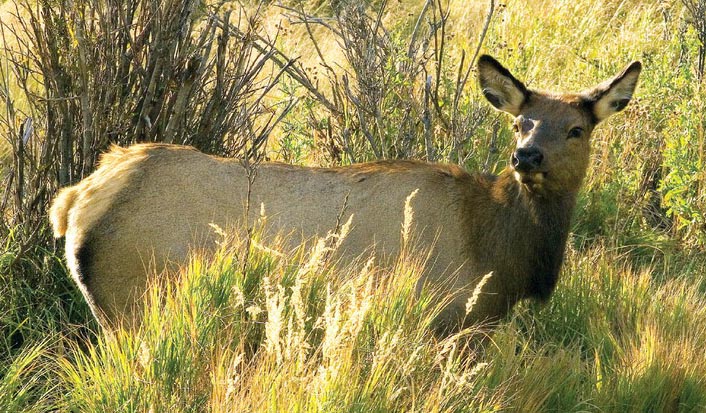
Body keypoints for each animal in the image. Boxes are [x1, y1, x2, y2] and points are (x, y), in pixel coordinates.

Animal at [49, 55, 641, 334]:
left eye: (576, 129)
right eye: (521, 122)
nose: (527, 158)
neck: (500, 253)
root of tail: (75, 200)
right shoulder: (444, 318)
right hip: (135, 303)